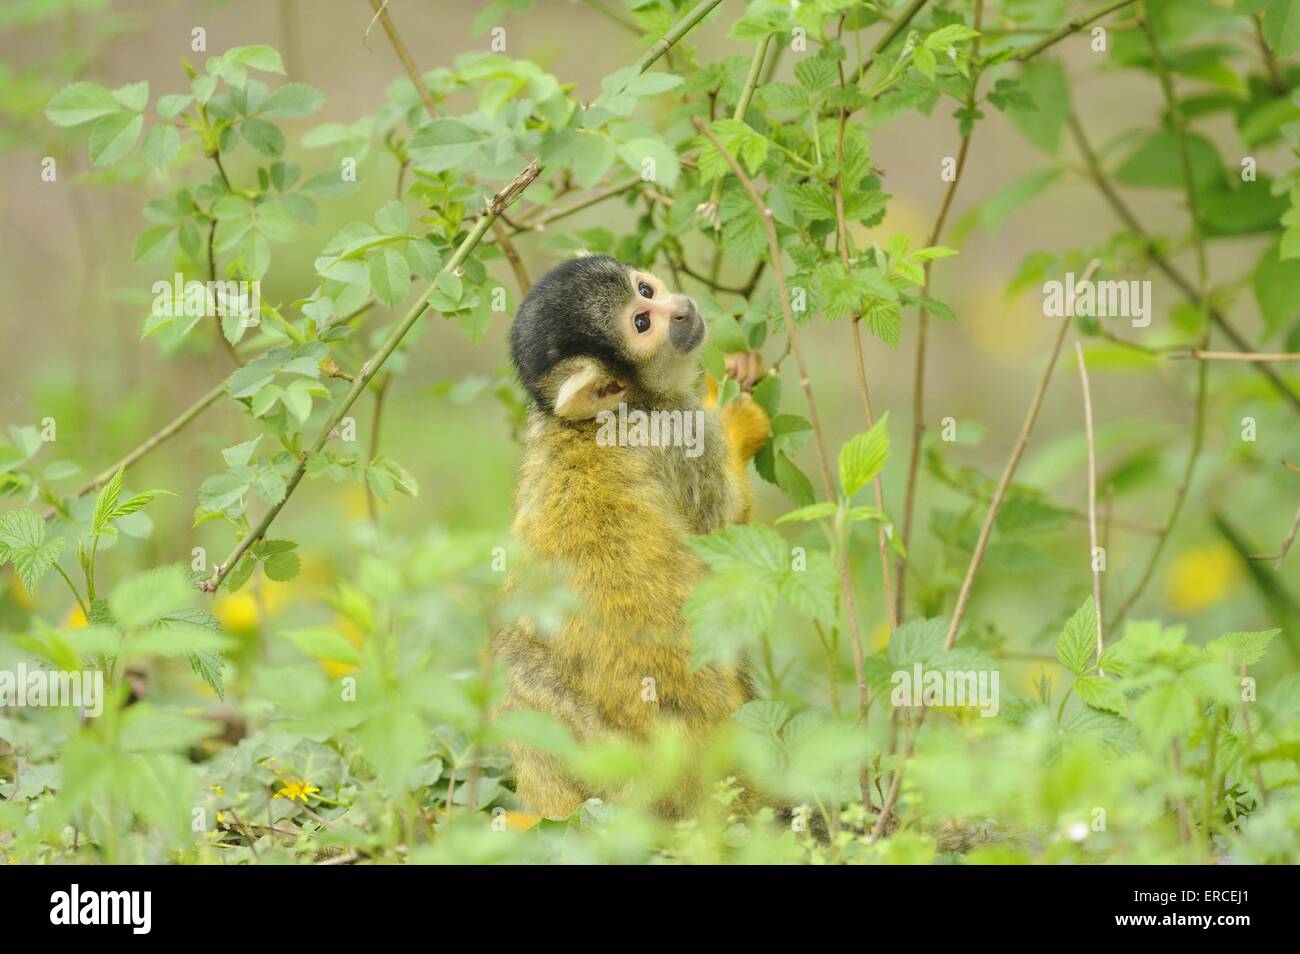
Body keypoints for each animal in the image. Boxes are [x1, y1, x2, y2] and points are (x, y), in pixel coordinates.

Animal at [495, 254, 770, 820]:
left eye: (646, 289)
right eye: (643, 324)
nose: (681, 310)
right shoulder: (683, 433)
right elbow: (727, 534)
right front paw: (740, 419)